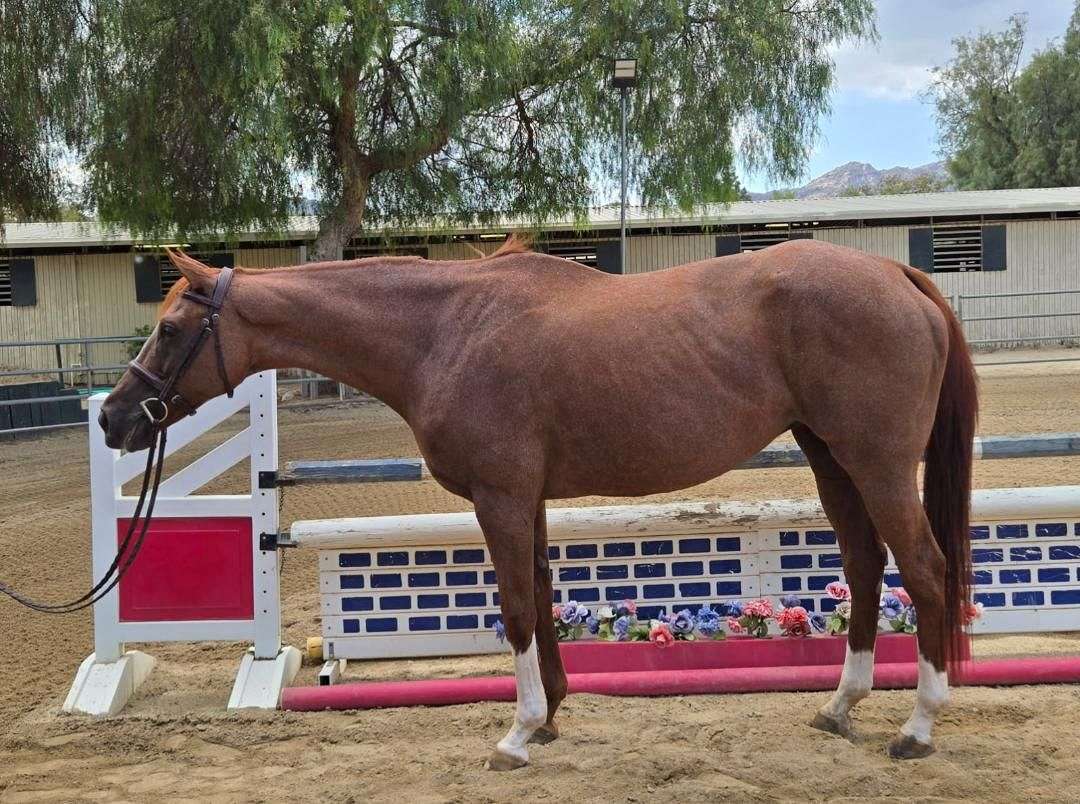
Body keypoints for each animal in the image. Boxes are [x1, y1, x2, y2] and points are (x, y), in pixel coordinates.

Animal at [99, 236, 977, 768]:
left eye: (171, 329)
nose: (113, 418)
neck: (445, 330)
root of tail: (894, 273)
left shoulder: (501, 495)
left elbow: (518, 607)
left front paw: (517, 733)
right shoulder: (532, 499)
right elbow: (545, 594)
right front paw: (550, 713)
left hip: (877, 463)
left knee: (924, 570)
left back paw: (918, 723)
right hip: (833, 459)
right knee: (864, 567)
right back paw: (840, 705)